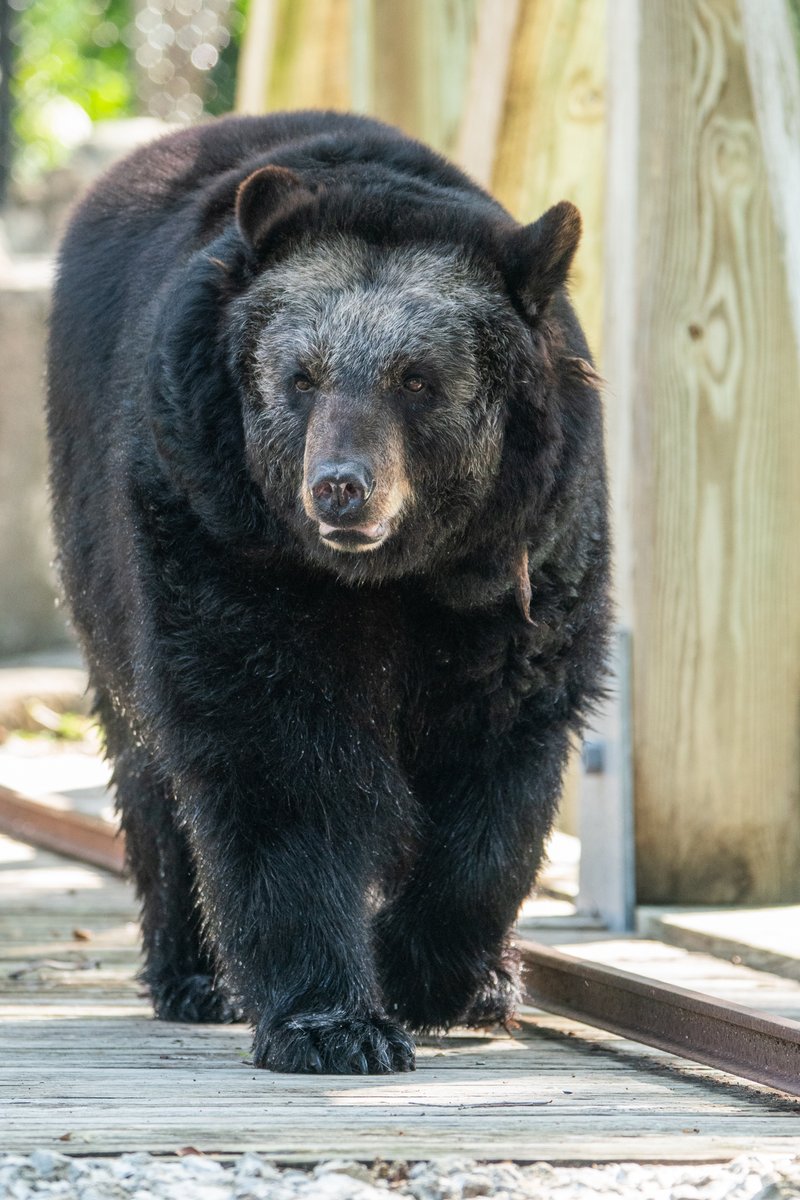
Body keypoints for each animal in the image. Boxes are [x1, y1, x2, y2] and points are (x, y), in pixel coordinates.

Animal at [46, 111, 610, 1074]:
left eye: (417, 378)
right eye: (301, 376)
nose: (340, 489)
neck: (389, 576)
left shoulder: (522, 560)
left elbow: (500, 749)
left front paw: (436, 974)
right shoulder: (222, 531)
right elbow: (277, 753)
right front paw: (335, 1023)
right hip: (101, 556)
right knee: (151, 766)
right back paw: (194, 975)